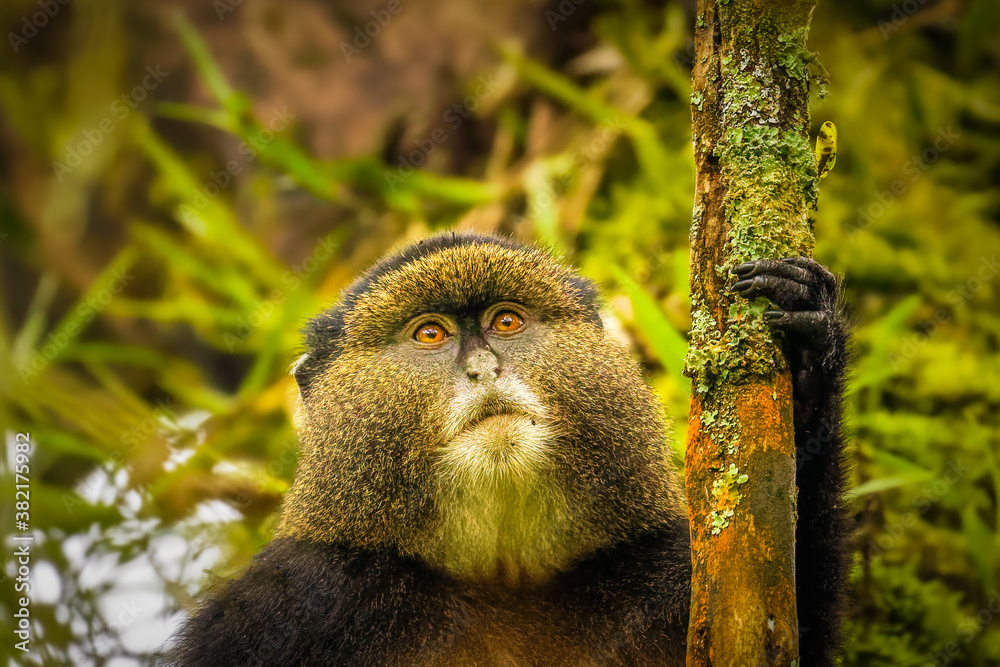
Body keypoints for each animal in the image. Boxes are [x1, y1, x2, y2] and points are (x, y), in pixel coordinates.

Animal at [161, 232, 848, 666]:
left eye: (506, 322)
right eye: (430, 334)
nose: (484, 368)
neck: (501, 577)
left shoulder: (671, 569)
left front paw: (807, 363)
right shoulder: (285, 606)